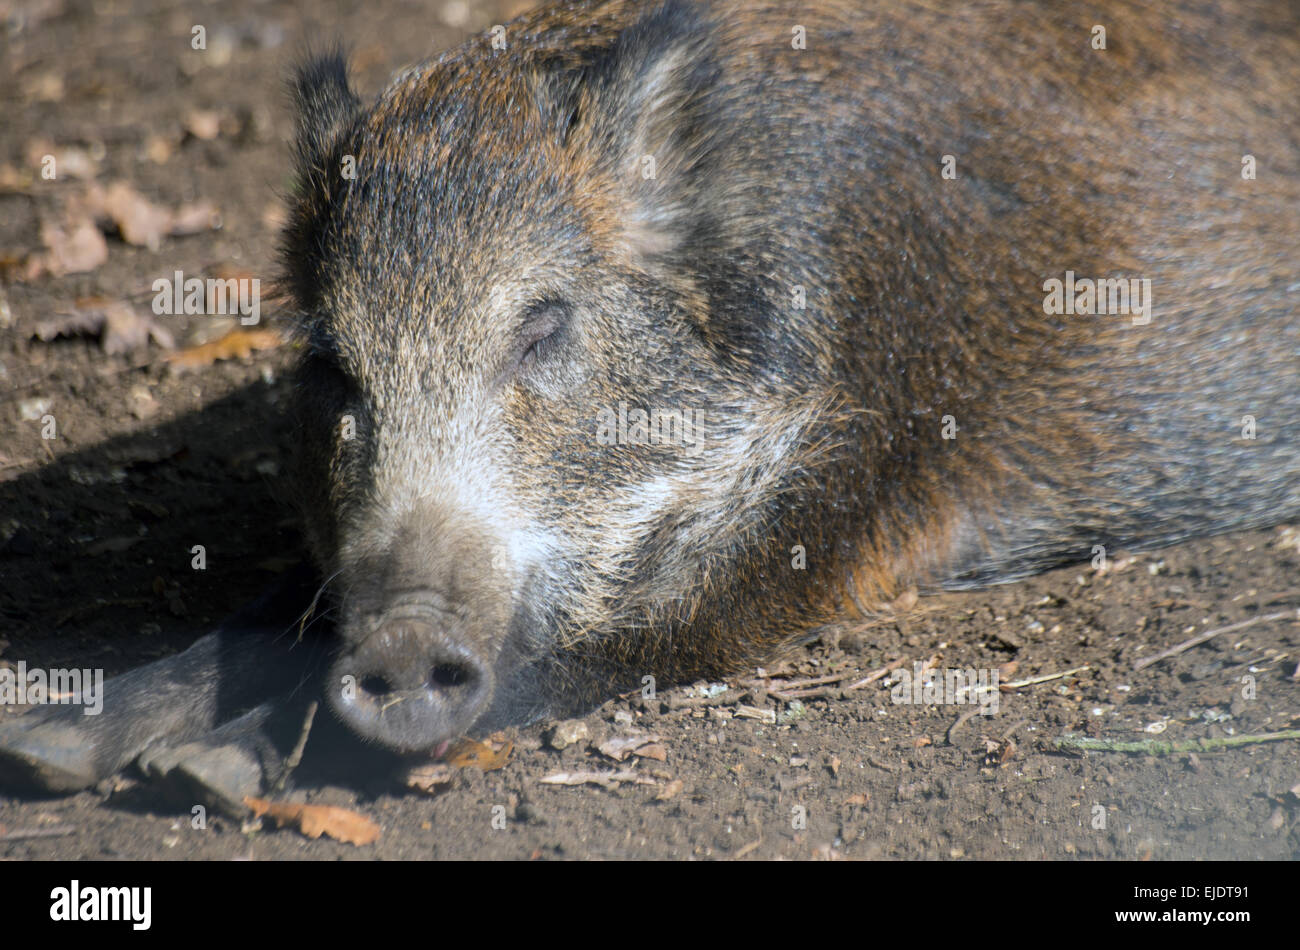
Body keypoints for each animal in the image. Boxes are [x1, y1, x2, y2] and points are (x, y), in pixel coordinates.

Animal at [2, 0, 1297, 808]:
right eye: (332, 361)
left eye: (543, 323)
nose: (405, 635)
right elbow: (282, 594)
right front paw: (54, 743)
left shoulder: (849, 488)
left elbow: (623, 642)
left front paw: (202, 774)